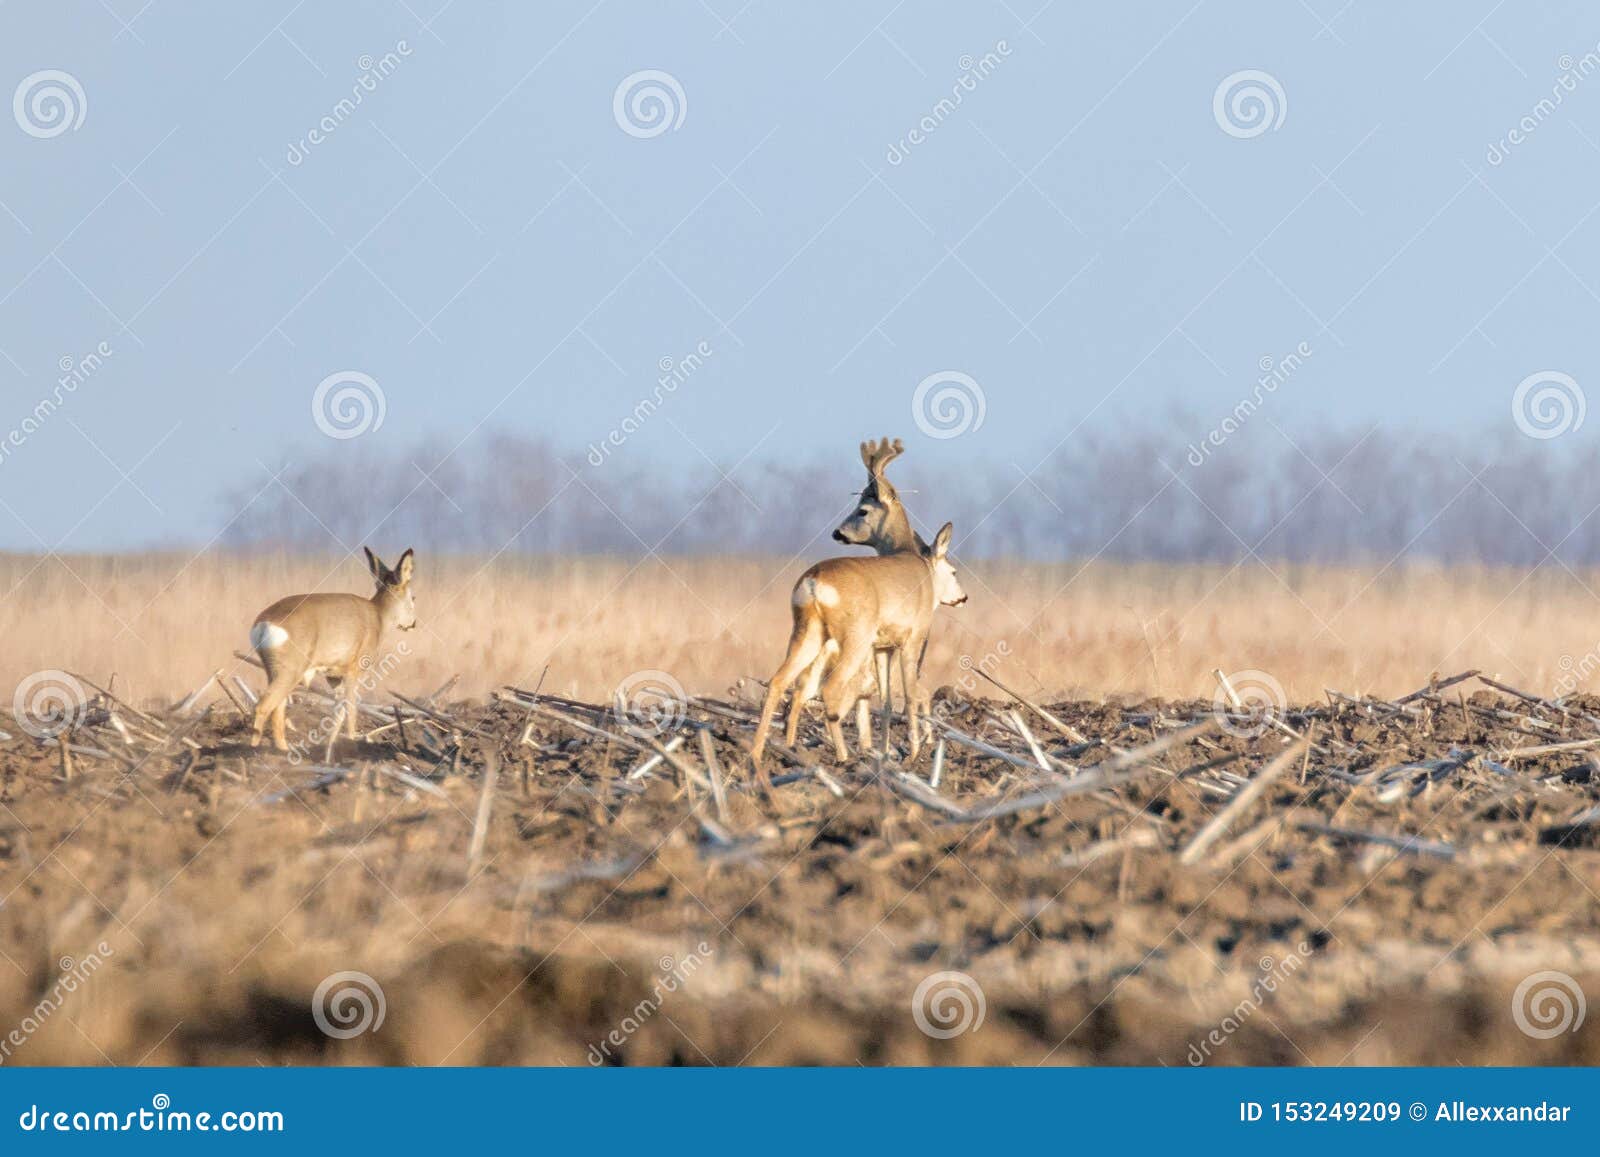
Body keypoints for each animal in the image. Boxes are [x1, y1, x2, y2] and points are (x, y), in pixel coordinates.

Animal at [247, 547, 417, 752]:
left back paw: (282, 749)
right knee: (263, 706)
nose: (413, 623)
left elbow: (338, 713)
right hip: (289, 671)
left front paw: (331, 746)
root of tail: (263, 624)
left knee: (277, 710)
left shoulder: (334, 677)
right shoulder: (354, 671)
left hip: (273, 671)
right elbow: (351, 710)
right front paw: (351, 741)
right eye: (413, 597)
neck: (378, 616)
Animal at [751, 518, 965, 768]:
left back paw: (766, 753)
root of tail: (815, 580)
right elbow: (916, 695)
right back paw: (843, 758)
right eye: (953, 571)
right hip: (854, 644)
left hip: (807, 637)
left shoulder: (882, 652)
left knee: (781, 684)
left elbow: (880, 709)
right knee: (829, 692)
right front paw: (916, 752)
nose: (963, 597)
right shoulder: (909, 646)